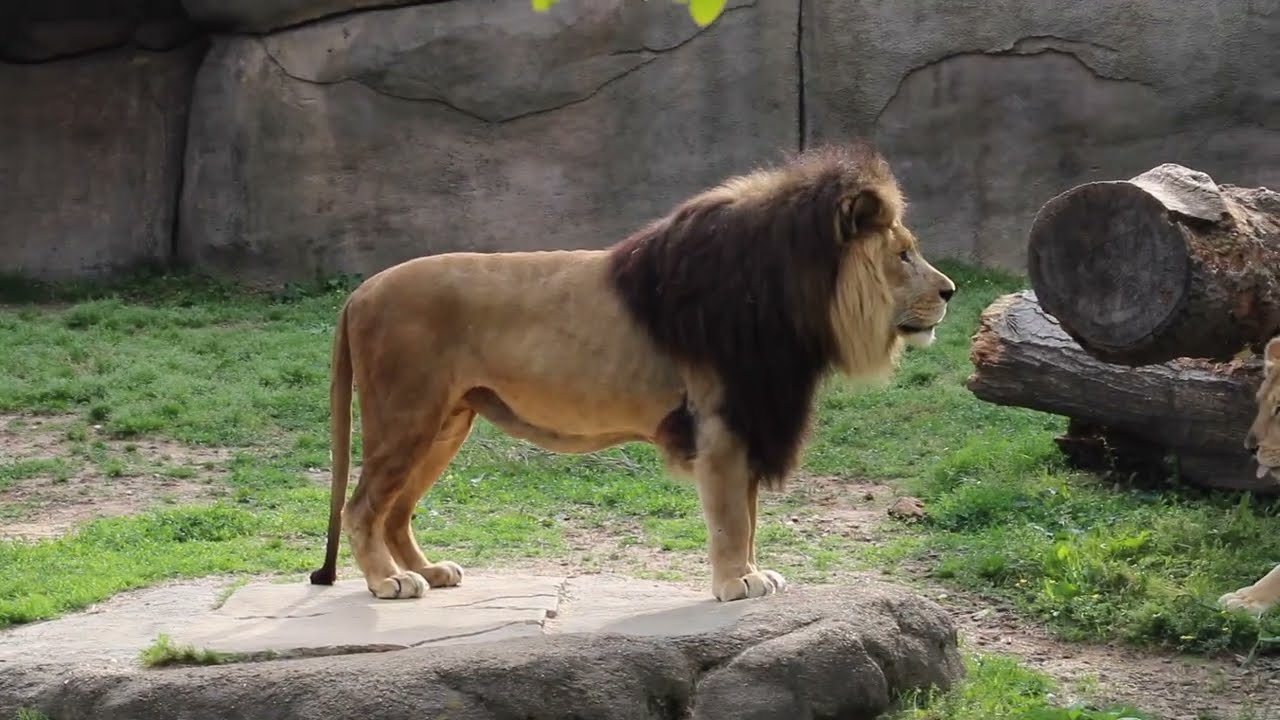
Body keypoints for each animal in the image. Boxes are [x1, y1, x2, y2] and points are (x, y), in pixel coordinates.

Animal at [307, 142, 957, 603]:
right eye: (903, 255)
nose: (950, 291)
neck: (787, 298)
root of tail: (360, 293)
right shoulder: (720, 422)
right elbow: (730, 515)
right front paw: (734, 584)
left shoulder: (750, 415)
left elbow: (748, 515)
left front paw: (753, 574)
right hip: (407, 415)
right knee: (362, 508)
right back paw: (388, 583)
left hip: (447, 423)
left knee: (396, 511)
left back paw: (429, 570)